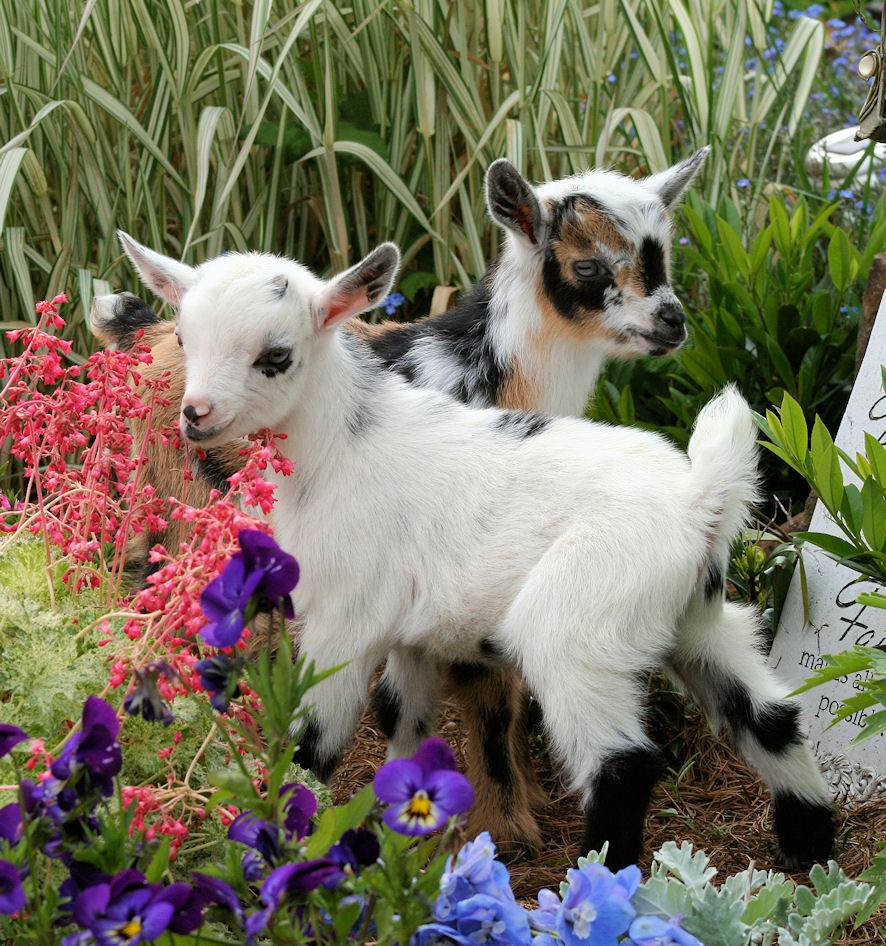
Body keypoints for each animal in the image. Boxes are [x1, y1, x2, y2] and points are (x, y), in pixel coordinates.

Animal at [92, 152, 708, 851]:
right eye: (587, 266)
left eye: (663, 254)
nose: (672, 322)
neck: (484, 371)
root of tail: (145, 333)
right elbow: (478, 688)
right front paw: (506, 825)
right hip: (185, 506)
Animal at [117, 235, 836, 870]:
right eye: (186, 340)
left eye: (276, 355)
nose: (195, 415)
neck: (336, 447)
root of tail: (700, 498)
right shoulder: (413, 632)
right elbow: (402, 719)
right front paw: (403, 838)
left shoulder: (348, 617)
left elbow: (314, 740)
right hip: (694, 615)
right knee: (767, 714)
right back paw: (809, 848)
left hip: (581, 616)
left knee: (624, 764)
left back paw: (601, 881)